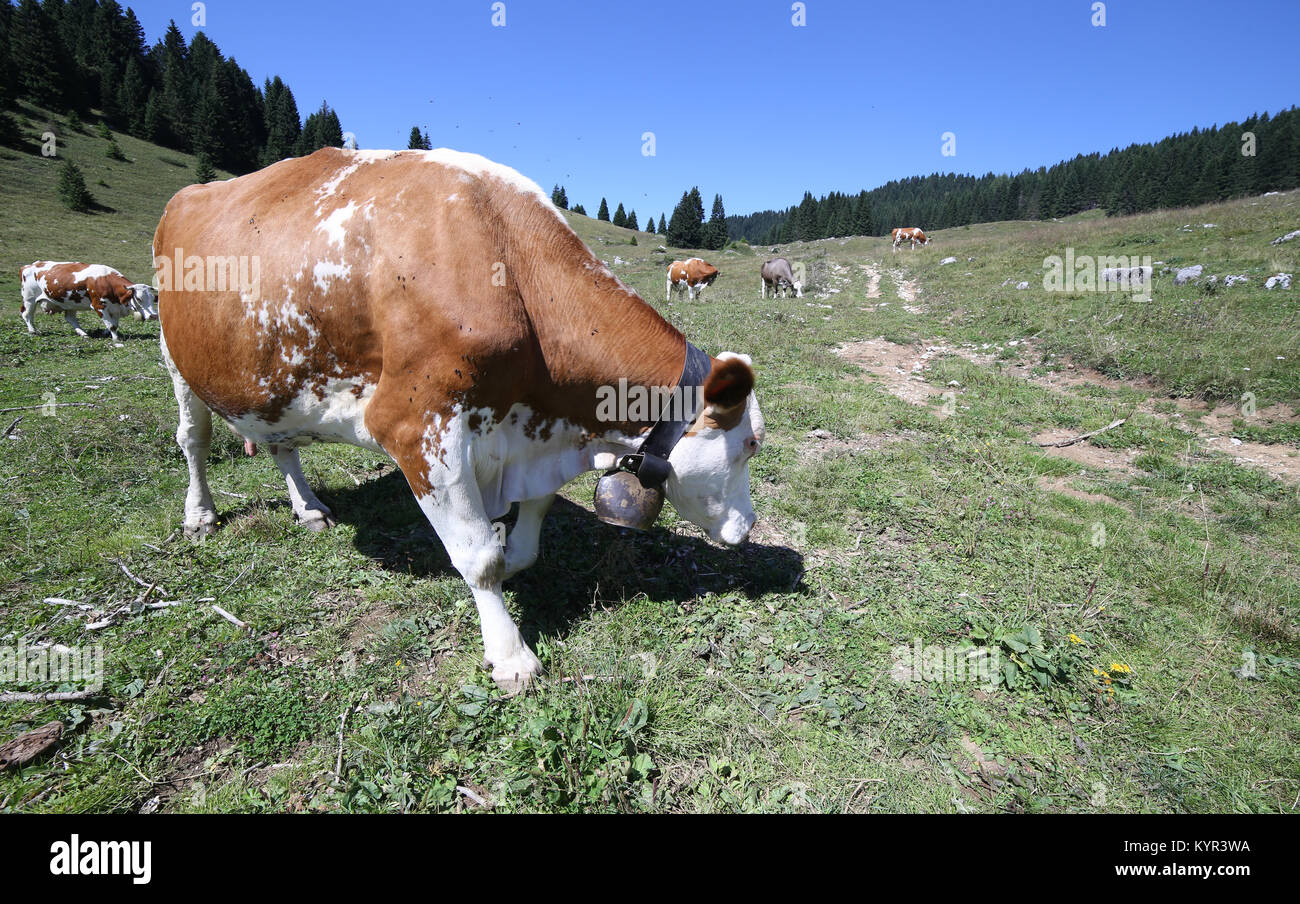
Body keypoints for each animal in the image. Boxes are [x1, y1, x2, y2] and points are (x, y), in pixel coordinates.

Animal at [19, 262, 153, 340]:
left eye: (153, 298)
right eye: (139, 298)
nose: (153, 315)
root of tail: (28, 266)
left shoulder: (115, 308)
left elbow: (114, 324)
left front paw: (107, 334)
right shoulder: (98, 306)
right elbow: (111, 325)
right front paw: (116, 340)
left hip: (71, 303)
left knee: (70, 318)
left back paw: (83, 333)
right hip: (29, 299)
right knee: (26, 314)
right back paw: (32, 331)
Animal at [153, 147, 765, 693]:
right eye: (752, 443)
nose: (750, 526)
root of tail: (186, 195)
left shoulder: (534, 433)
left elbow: (525, 535)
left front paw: (515, 561)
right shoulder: (415, 426)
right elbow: (478, 557)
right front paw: (510, 653)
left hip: (274, 378)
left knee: (283, 443)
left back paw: (307, 508)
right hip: (177, 355)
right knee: (194, 439)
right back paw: (200, 515)